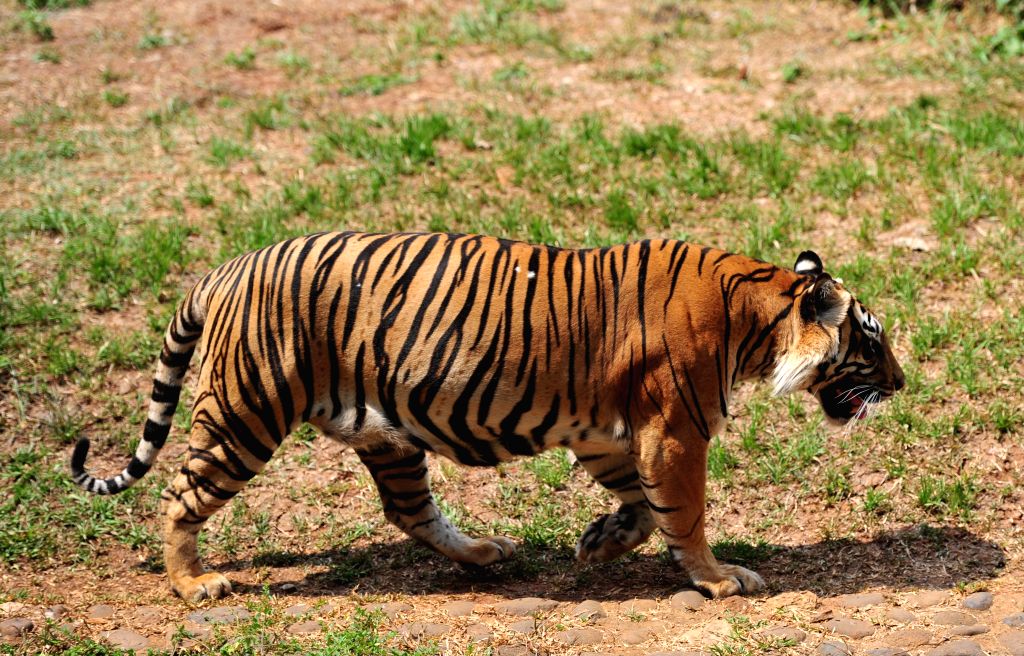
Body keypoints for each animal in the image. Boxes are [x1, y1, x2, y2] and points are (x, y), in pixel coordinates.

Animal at [71, 232, 905, 601]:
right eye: (871, 342)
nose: (900, 381)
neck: (757, 311)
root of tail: (223, 269)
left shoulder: (609, 433)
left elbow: (641, 506)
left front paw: (601, 543)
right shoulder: (674, 431)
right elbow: (687, 513)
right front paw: (720, 579)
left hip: (383, 428)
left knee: (409, 510)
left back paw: (484, 553)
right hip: (247, 412)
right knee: (180, 496)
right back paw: (194, 586)